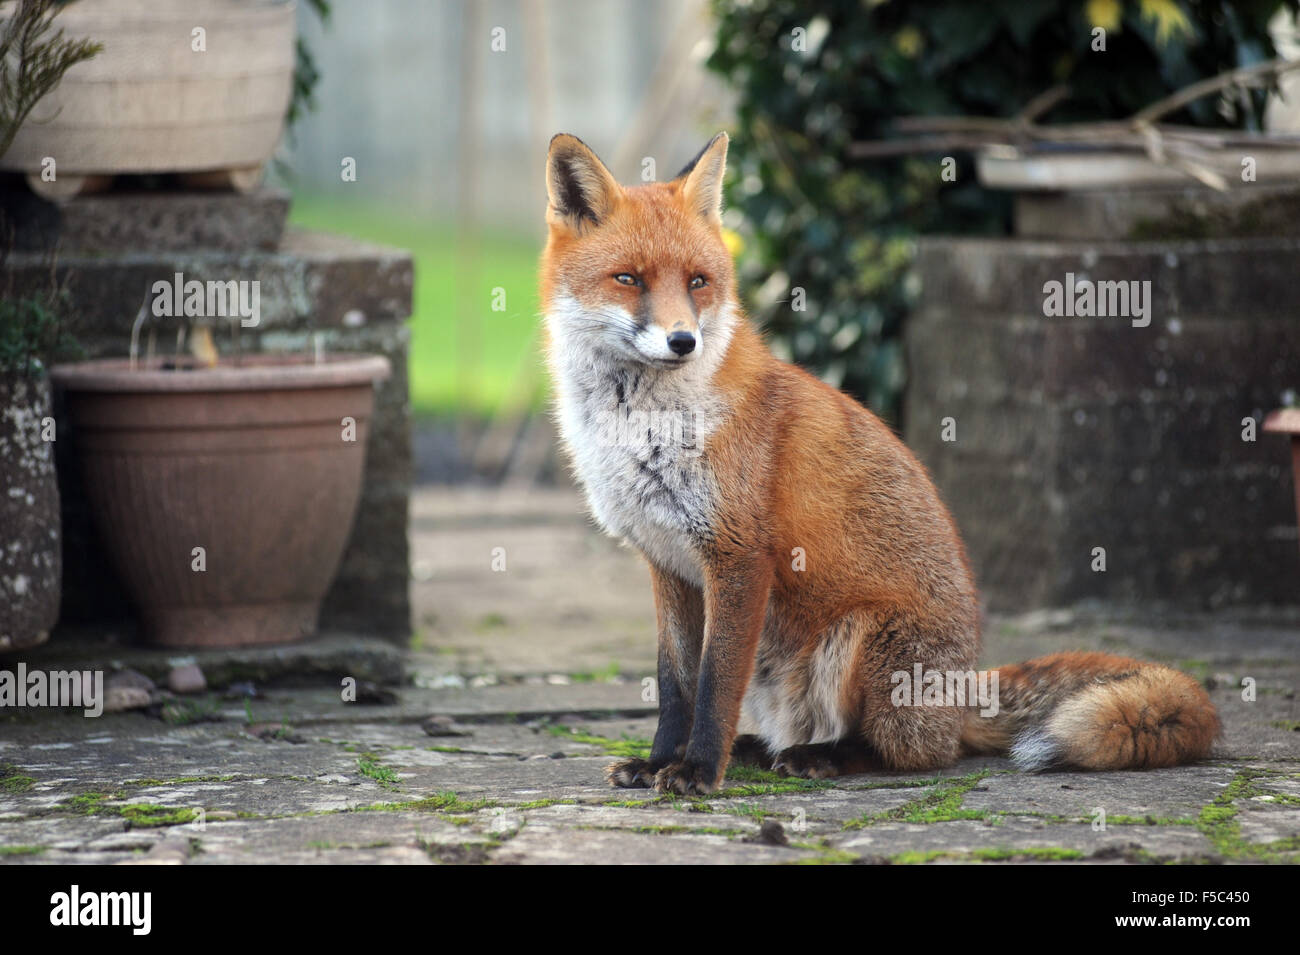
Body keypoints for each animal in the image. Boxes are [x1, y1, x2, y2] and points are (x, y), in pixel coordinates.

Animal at [539, 131, 1221, 795]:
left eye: (698, 282)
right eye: (629, 279)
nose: (684, 342)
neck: (641, 428)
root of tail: (961, 695)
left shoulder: (738, 557)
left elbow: (713, 687)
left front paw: (699, 771)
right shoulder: (668, 564)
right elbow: (675, 683)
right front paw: (658, 762)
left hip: (858, 637)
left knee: (908, 754)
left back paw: (822, 758)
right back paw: (765, 749)